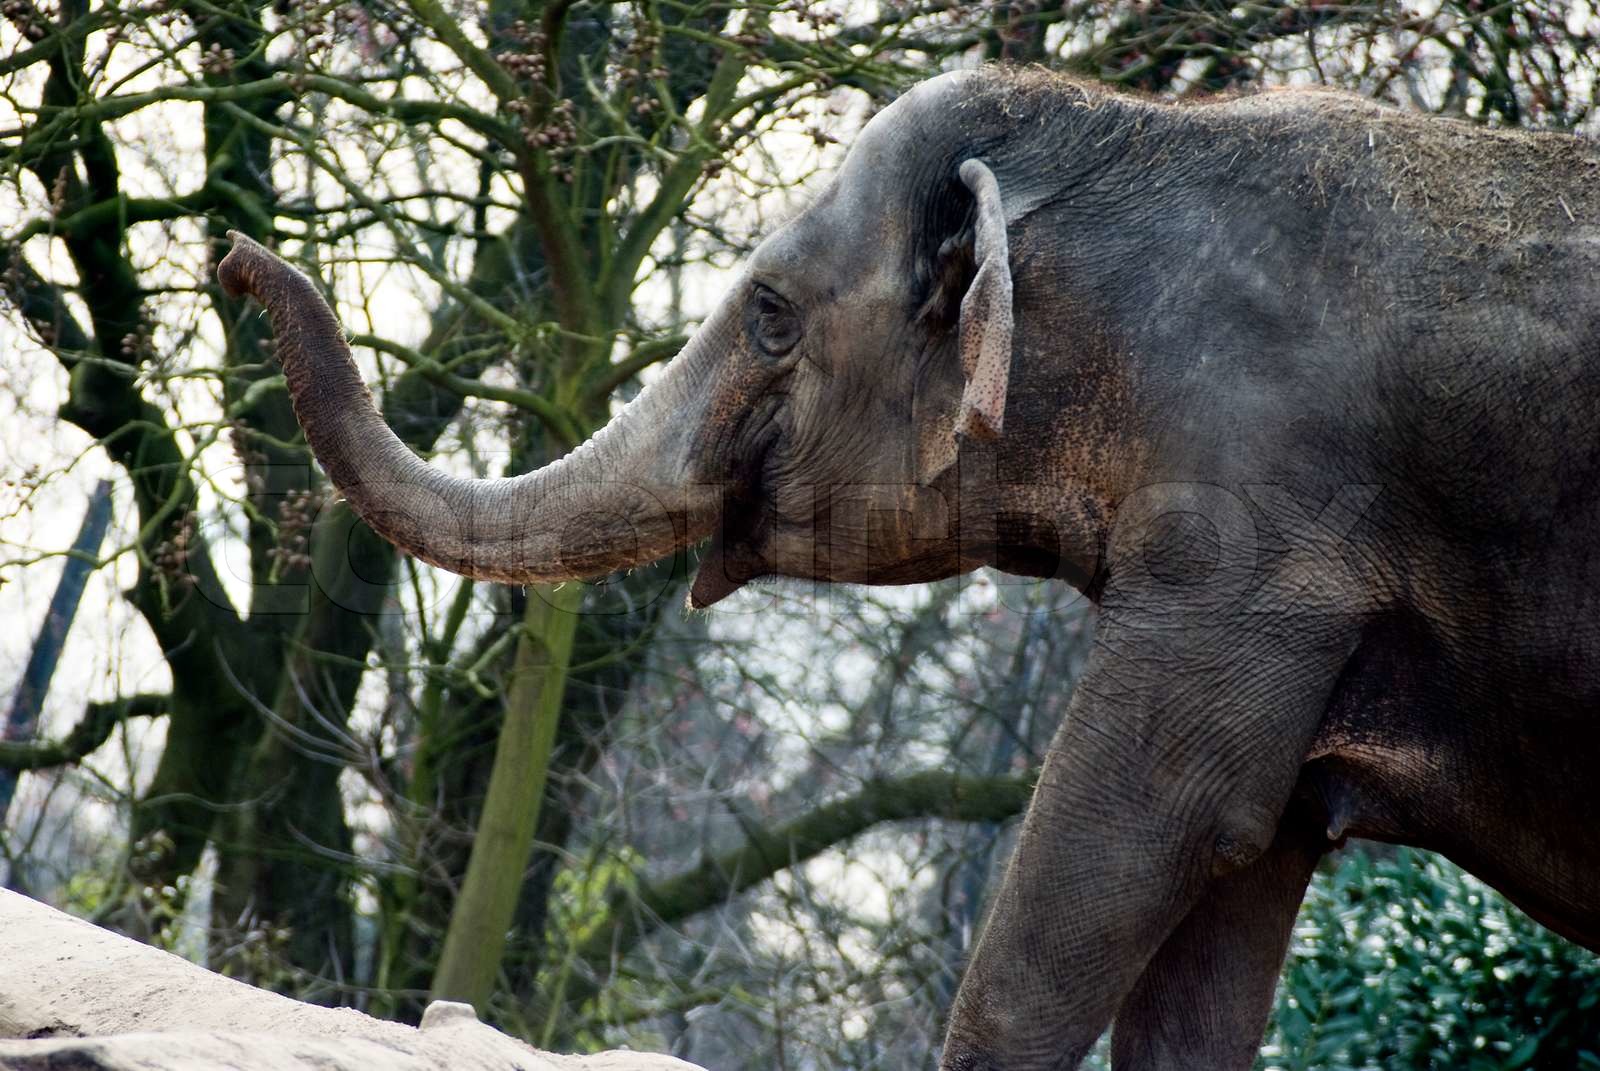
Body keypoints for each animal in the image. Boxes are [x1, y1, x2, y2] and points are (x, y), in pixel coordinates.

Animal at [217, 66, 1600, 1070]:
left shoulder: (1257, 524)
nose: (236, 255)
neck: (1147, 127)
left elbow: (1148, 837)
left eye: (771, 313)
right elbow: (1232, 898)